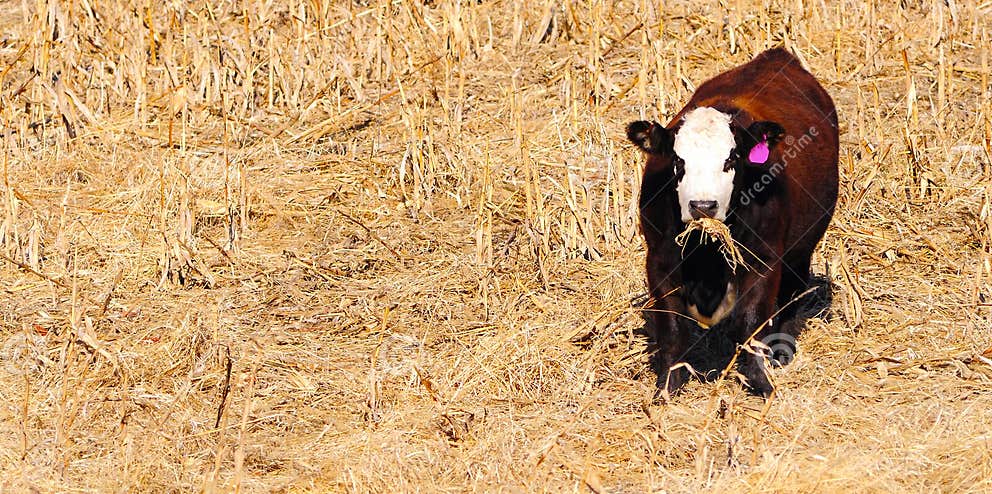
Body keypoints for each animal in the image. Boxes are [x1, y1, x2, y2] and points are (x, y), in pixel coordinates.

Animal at [626, 47, 839, 397]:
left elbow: (750, 323)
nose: (703, 205)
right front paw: (668, 386)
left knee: (791, 295)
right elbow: (672, 327)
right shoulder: (659, 261)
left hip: (801, 249)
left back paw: (781, 350)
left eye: (732, 158)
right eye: (678, 160)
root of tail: (778, 57)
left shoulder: (764, 260)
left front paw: (760, 381)